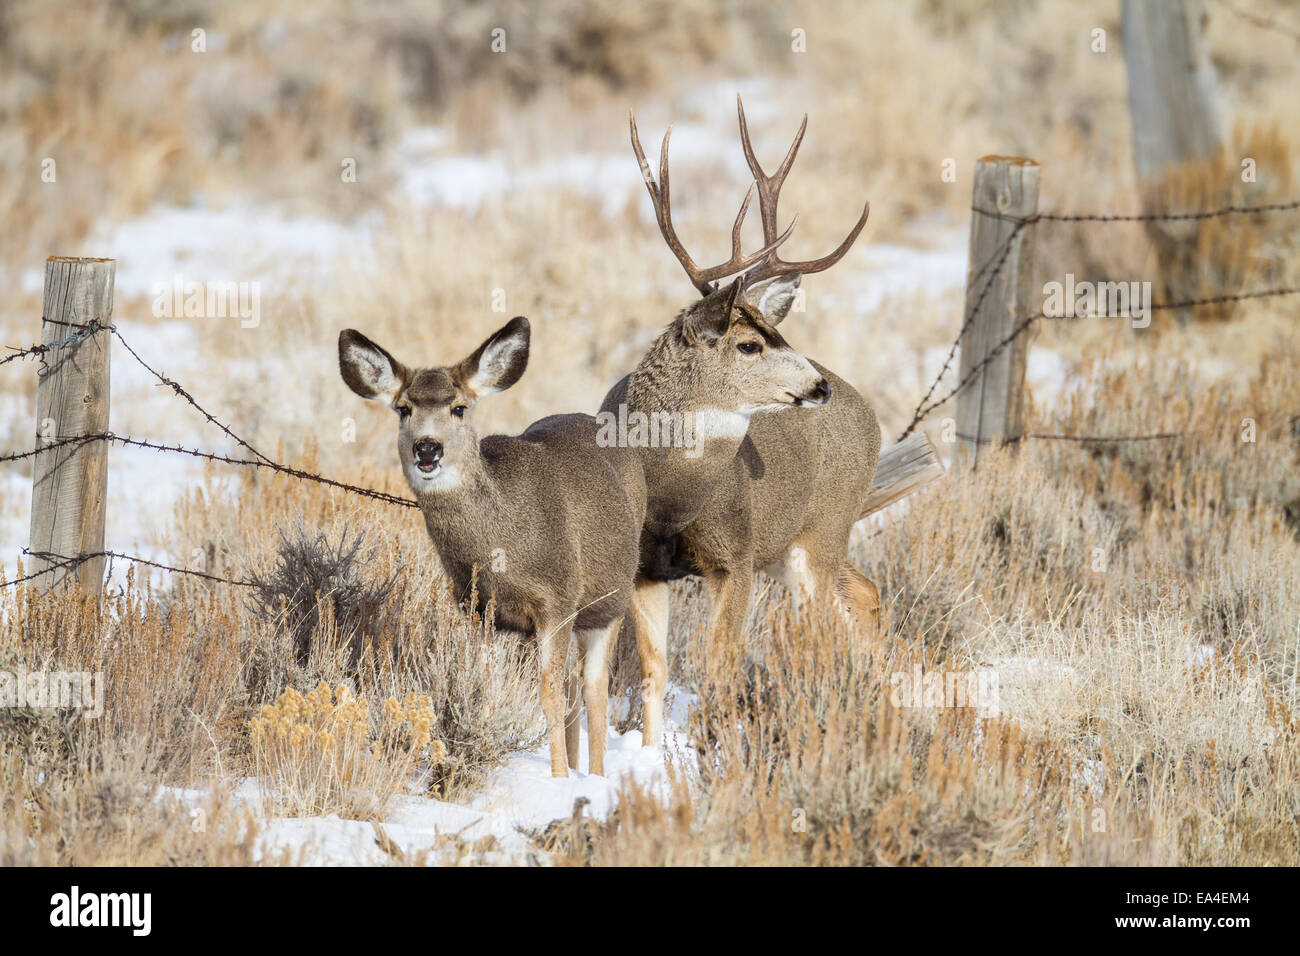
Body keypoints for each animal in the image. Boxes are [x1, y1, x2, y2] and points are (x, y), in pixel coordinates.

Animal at [338, 317, 646, 778]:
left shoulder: (558, 599)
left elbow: (548, 693)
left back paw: (593, 775)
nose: (427, 448)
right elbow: (481, 686)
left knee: (593, 687)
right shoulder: (480, 610)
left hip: (610, 599)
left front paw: (558, 778)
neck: (504, 547)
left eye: (459, 407)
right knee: (576, 683)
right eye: (404, 408)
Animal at [604, 97, 881, 747]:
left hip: (822, 529)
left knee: (825, 623)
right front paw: (649, 756)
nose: (818, 385)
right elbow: (654, 669)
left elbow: (720, 662)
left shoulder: (734, 556)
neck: (672, 493)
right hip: (788, 546)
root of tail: (870, 413)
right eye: (750, 344)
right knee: (864, 593)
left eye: (776, 333)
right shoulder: (645, 566)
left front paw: (716, 743)